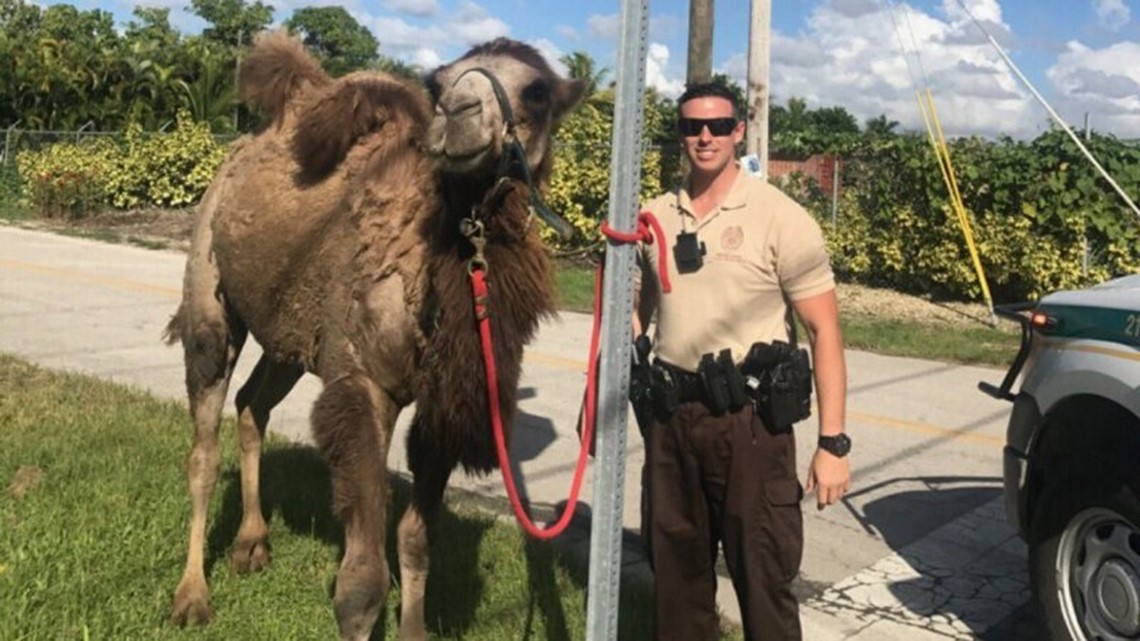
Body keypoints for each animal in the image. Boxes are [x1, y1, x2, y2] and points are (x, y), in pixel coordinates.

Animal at [163, 30, 586, 640]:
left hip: (292, 337)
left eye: (537, 91)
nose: (458, 115)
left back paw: (252, 543)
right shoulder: (362, 384)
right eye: (437, 83)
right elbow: (361, 582)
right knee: (203, 444)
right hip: (209, 295)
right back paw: (192, 595)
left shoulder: (441, 401)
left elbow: (415, 540)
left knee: (251, 405)